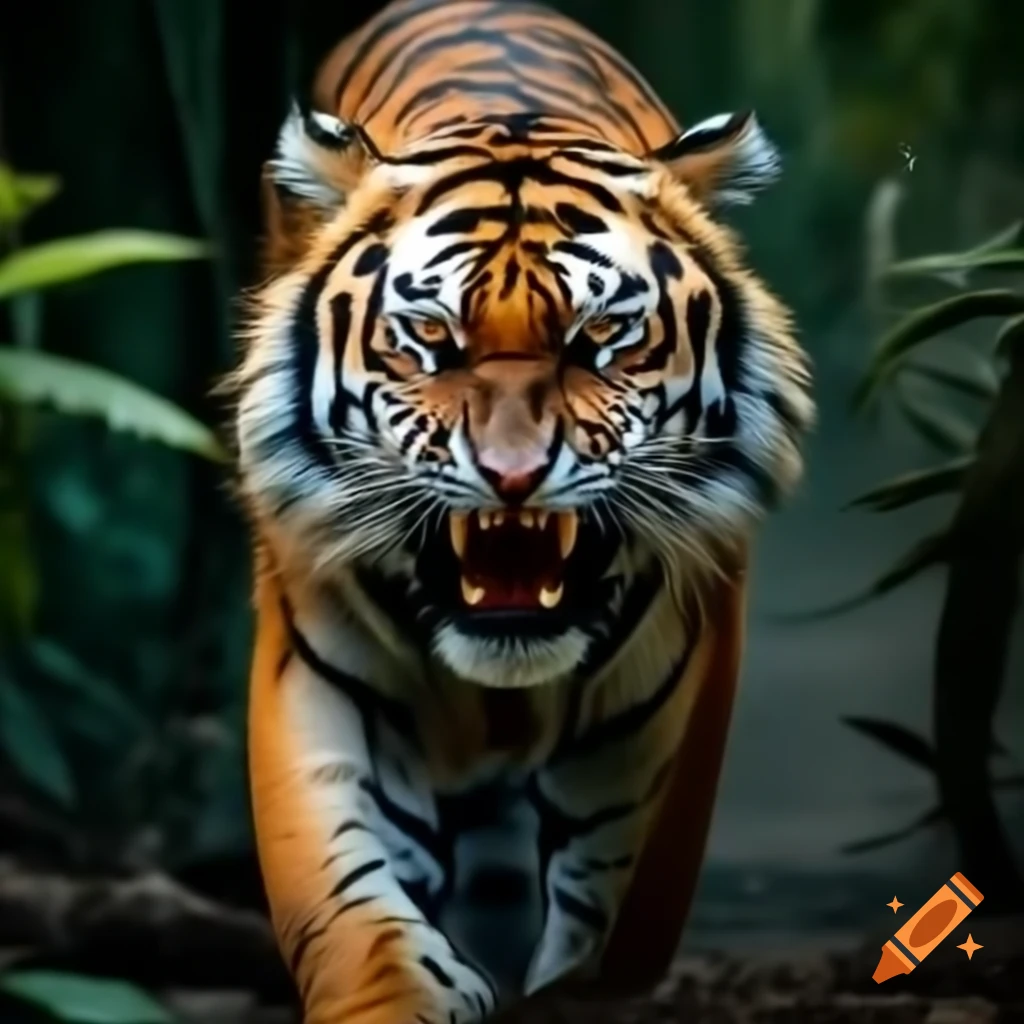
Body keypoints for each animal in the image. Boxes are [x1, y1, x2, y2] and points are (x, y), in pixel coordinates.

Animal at [231, 0, 814, 1021]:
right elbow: (361, 924)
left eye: (601, 336)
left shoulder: (647, 775)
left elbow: (599, 939)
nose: (512, 476)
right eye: (431, 336)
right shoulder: (319, 693)